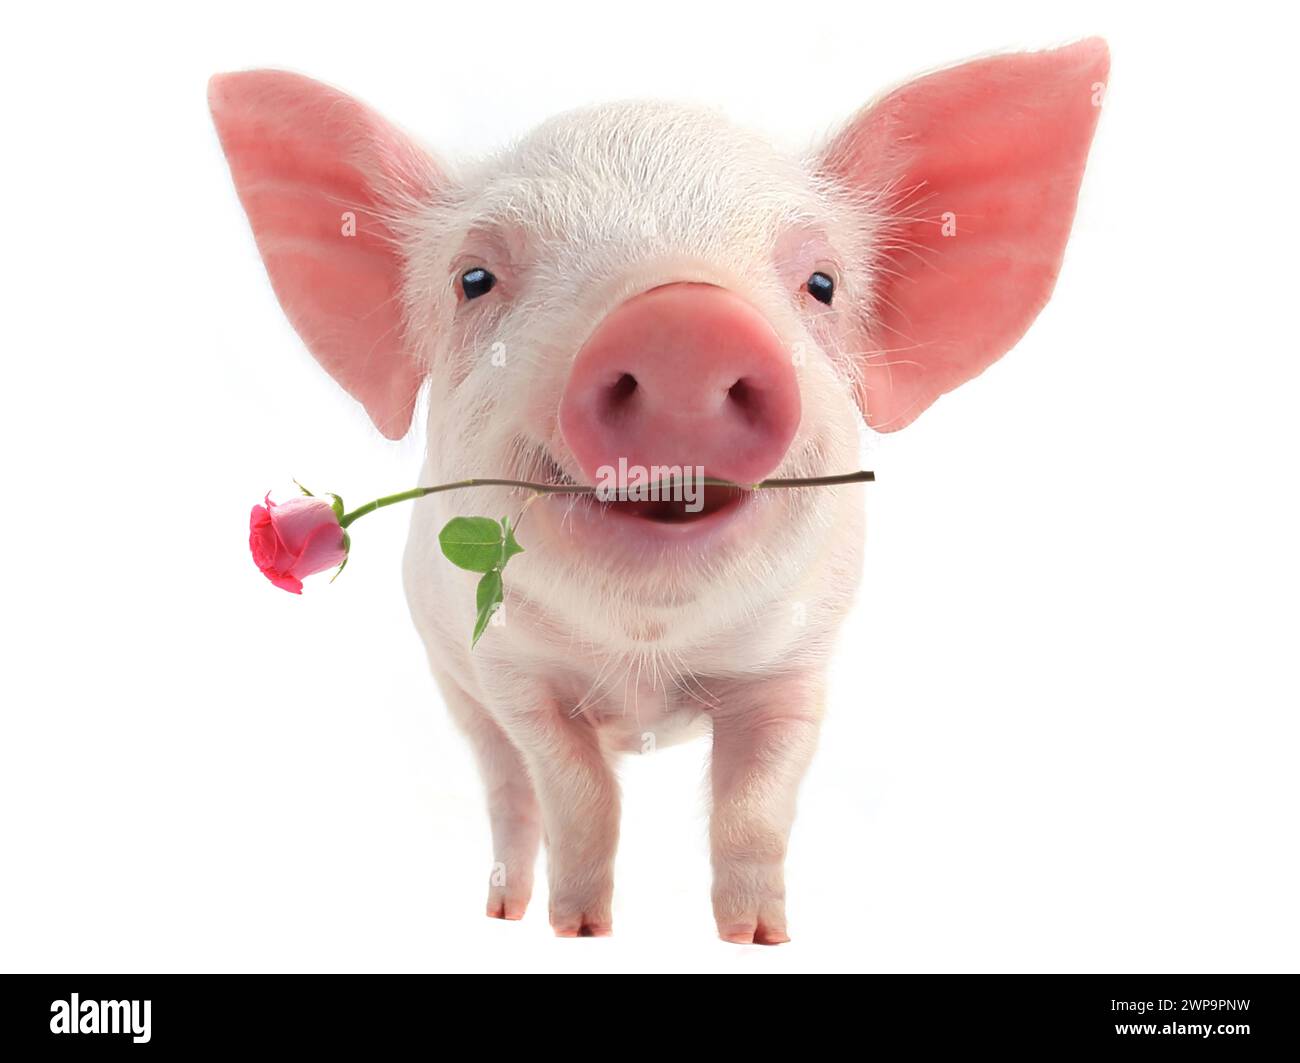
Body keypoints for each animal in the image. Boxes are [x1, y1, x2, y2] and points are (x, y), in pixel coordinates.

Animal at [209, 39, 1108, 943]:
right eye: (474, 279)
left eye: (822, 283)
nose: (682, 325)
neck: (645, 660)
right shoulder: (507, 671)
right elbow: (576, 795)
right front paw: (580, 932)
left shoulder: (796, 665)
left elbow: (755, 806)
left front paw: (758, 937)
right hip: (450, 680)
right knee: (506, 788)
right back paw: (502, 911)